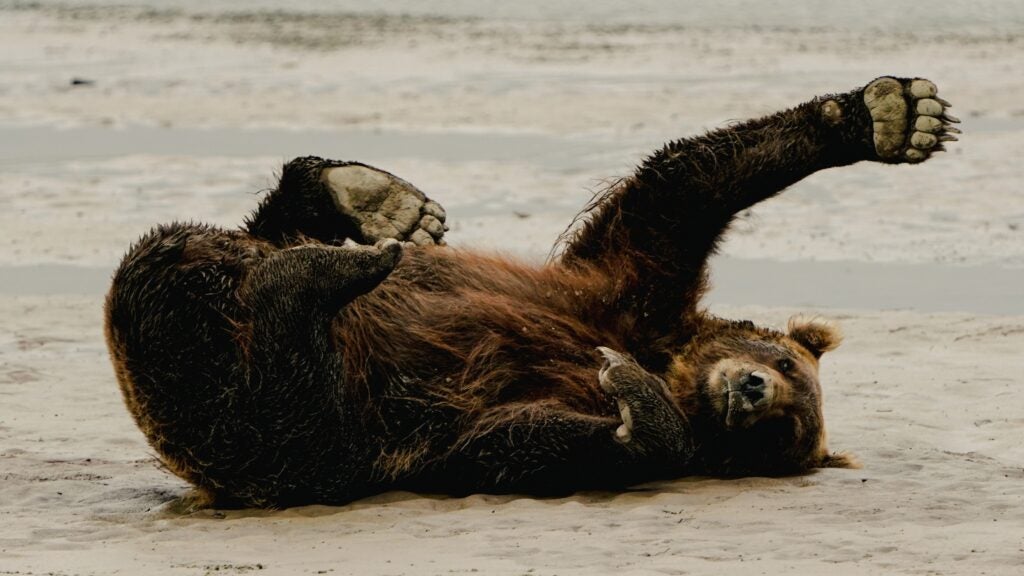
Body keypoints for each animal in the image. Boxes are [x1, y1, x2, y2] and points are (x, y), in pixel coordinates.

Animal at [104, 76, 959, 508]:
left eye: (782, 430)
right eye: (781, 361)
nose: (751, 390)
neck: (673, 361)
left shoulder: (460, 420)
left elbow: (520, 442)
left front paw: (634, 398)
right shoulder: (620, 289)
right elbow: (679, 186)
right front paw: (891, 114)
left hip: (284, 430)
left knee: (245, 356)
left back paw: (323, 273)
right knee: (215, 244)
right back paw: (374, 207)